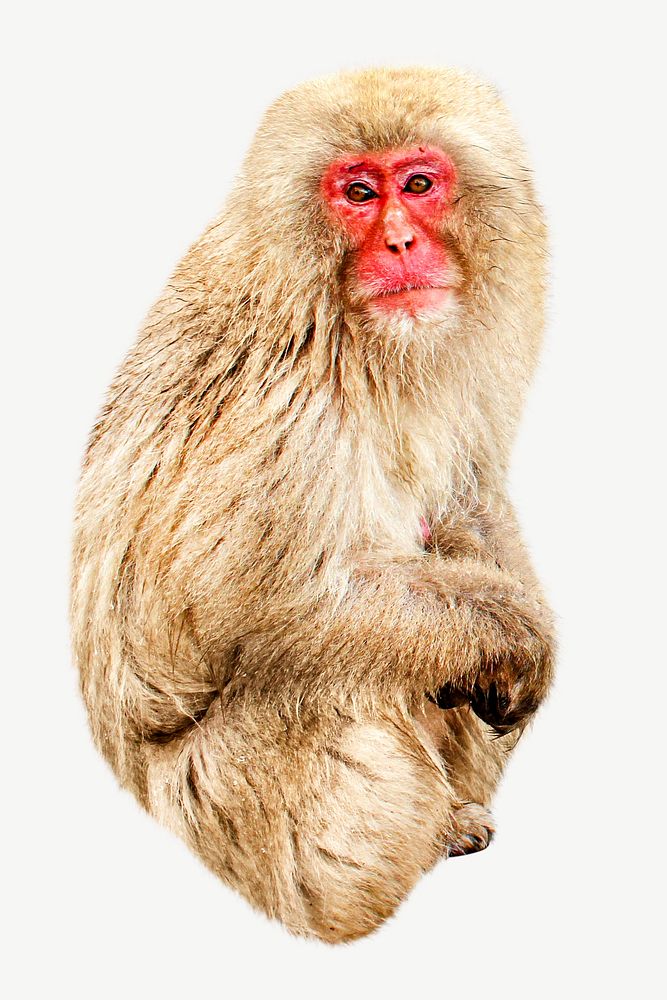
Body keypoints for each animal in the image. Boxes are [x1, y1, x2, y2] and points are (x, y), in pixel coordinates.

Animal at [71, 66, 555, 943]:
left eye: (418, 185)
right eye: (358, 193)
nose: (399, 243)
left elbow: (467, 497)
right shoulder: (283, 398)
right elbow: (257, 604)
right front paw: (509, 632)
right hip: (219, 811)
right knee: (335, 672)